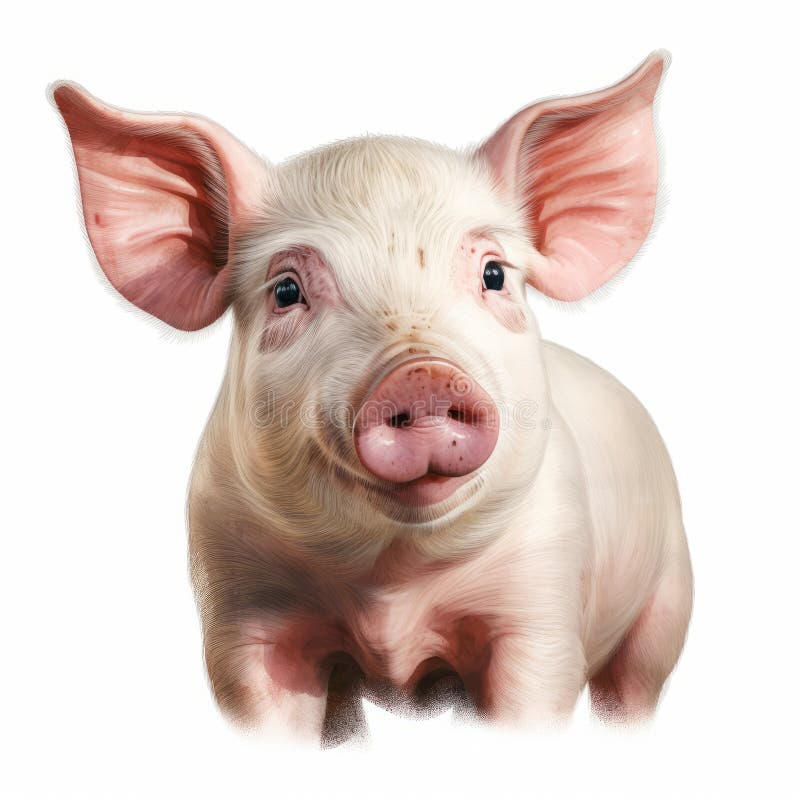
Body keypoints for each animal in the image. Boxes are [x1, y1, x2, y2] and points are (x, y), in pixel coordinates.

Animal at [50, 50, 692, 744]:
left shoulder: (541, 604)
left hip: (668, 599)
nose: (425, 374)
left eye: (494, 274)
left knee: (635, 685)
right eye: (286, 290)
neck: (392, 585)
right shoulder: (240, 610)